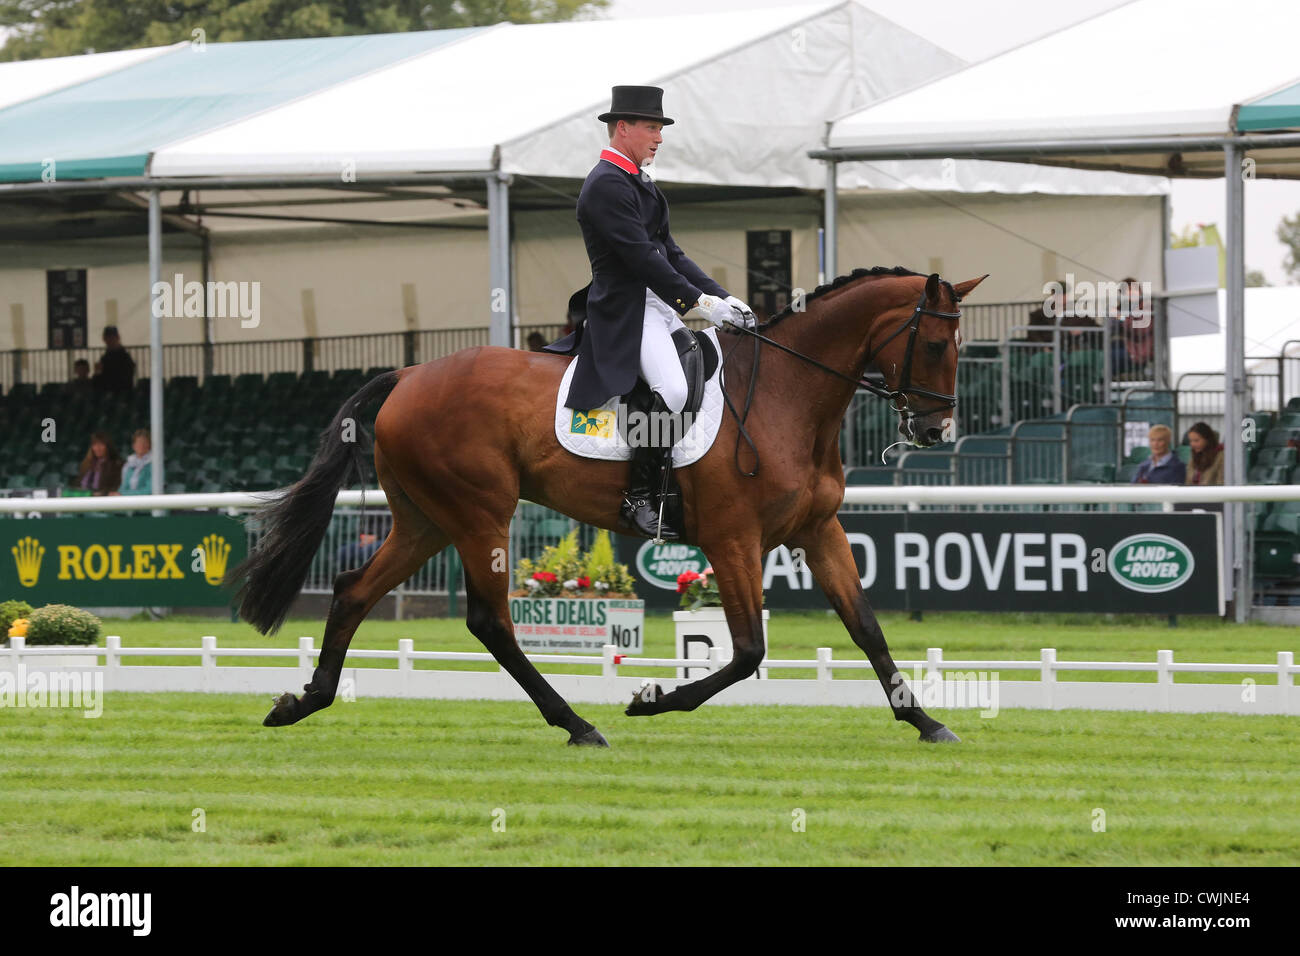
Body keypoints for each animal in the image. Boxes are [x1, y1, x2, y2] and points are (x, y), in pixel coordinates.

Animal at [227, 266, 986, 746]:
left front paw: (926, 722)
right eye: (933, 343)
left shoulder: (818, 531)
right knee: (490, 621)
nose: (937, 431)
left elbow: (867, 630)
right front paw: (651, 700)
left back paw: (304, 701)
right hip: (480, 515)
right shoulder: (732, 539)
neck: (785, 396)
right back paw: (577, 725)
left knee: (354, 591)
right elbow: (746, 651)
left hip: (425, 521)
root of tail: (411, 373)